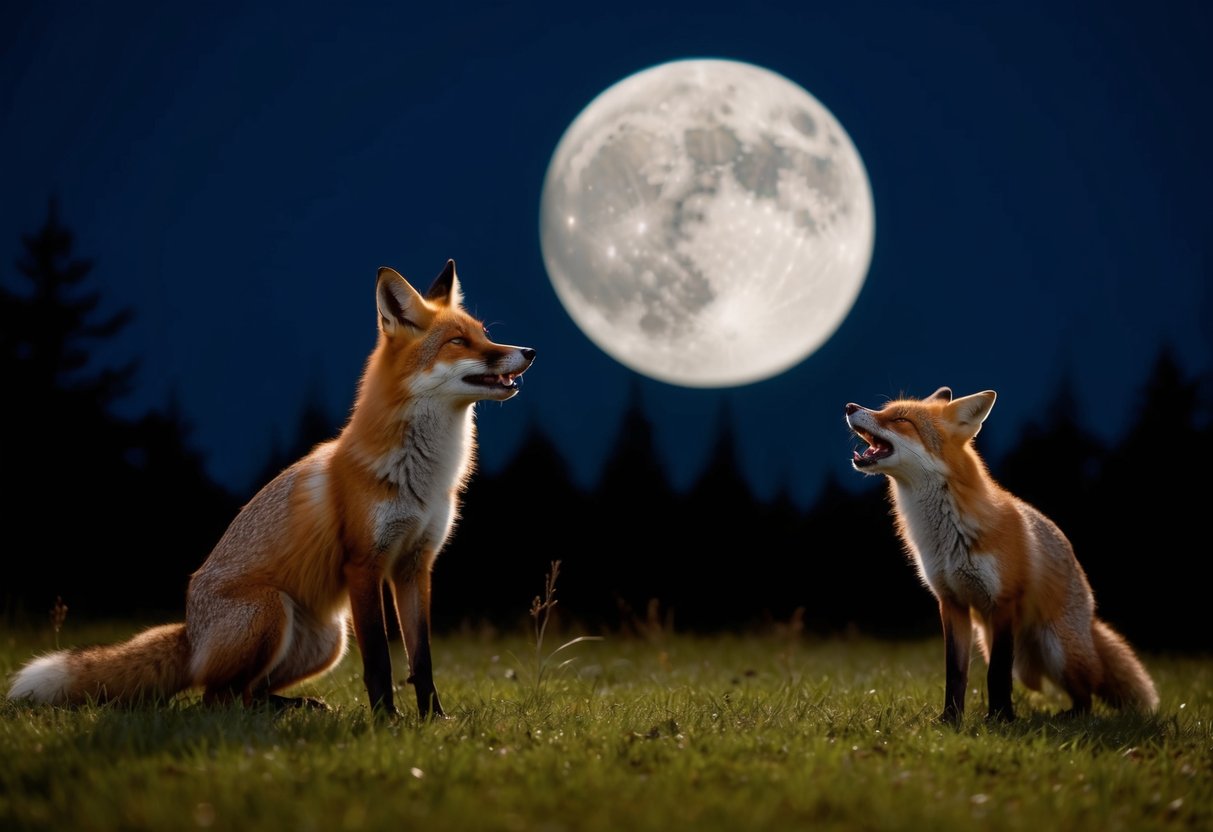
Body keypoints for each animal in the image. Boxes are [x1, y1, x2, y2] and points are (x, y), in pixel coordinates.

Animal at [8, 259, 535, 719]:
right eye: (459, 342)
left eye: (484, 334)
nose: (529, 352)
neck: (423, 475)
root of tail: (190, 633)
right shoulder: (364, 563)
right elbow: (381, 663)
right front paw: (387, 721)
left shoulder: (414, 565)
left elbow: (421, 660)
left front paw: (434, 720)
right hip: (271, 611)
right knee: (215, 699)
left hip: (328, 639)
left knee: (247, 692)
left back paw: (296, 706)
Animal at [845, 386, 1158, 724]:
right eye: (884, 410)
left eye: (901, 420)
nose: (849, 406)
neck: (950, 534)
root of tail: (1089, 617)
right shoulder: (951, 602)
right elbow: (955, 672)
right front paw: (950, 719)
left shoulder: (1004, 601)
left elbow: (996, 673)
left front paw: (1000, 719)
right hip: (1003, 648)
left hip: (1058, 649)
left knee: (1086, 693)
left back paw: (1070, 717)